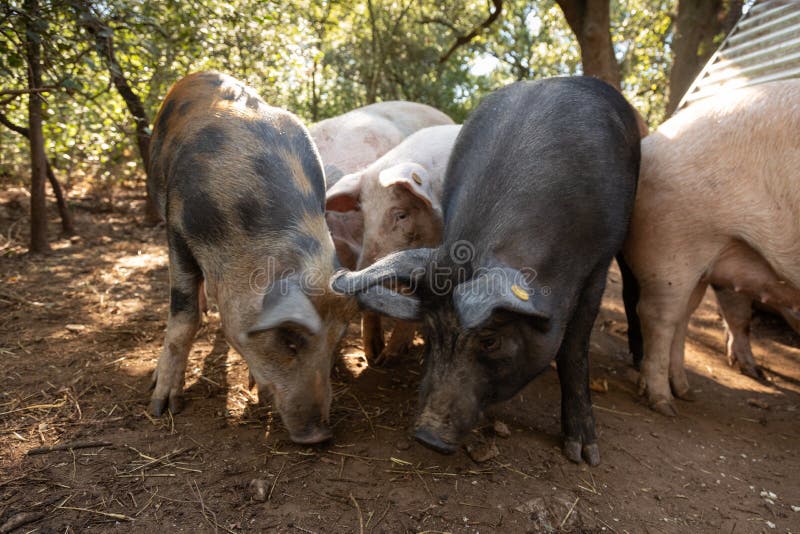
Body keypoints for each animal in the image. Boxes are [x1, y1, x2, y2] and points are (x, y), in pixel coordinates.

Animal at [147, 71, 352, 444]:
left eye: (336, 342)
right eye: (289, 340)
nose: (321, 435)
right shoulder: (177, 229)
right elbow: (183, 319)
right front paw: (162, 407)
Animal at [622, 79, 800, 417]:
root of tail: (652, 141)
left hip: (704, 262)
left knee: (683, 317)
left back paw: (686, 393)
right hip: (674, 243)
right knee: (657, 315)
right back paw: (664, 404)